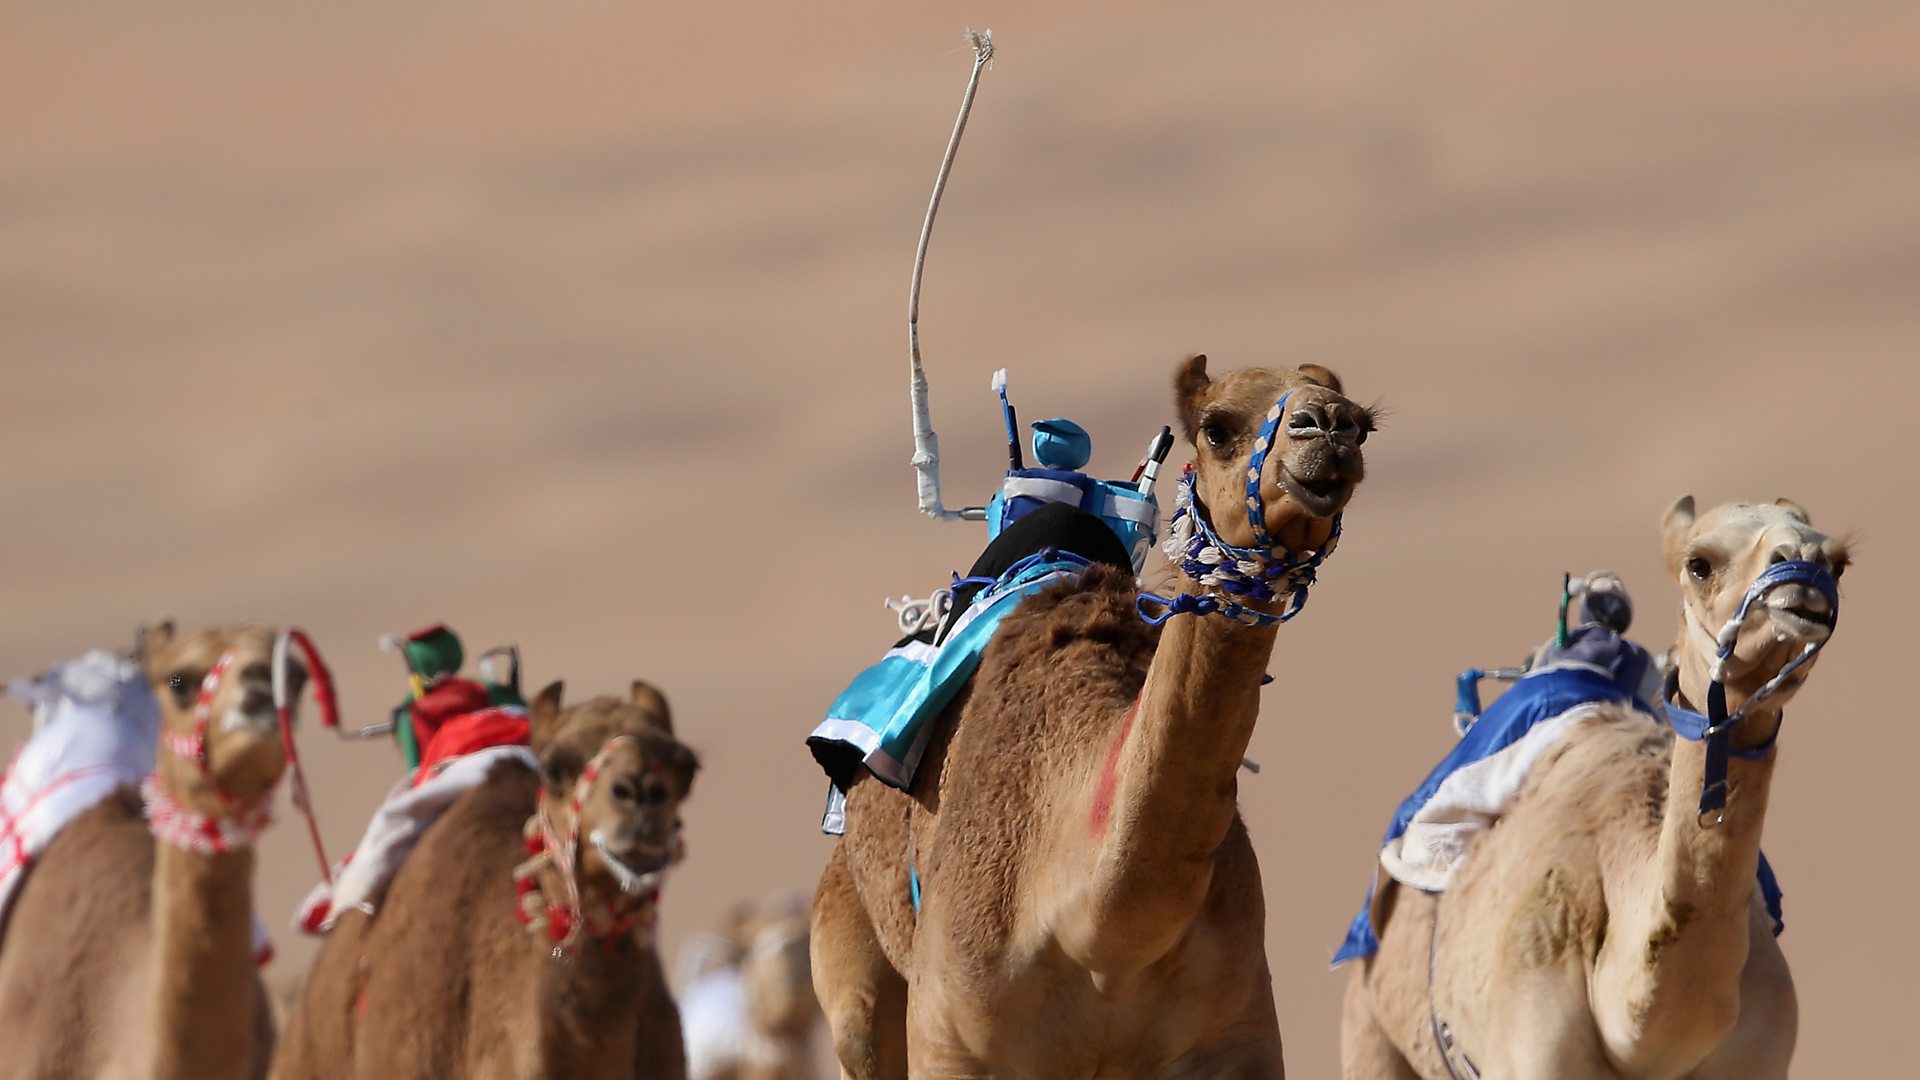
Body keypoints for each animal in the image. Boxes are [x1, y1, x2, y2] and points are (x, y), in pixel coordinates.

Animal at [811, 355, 1376, 1078]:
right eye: (1217, 428)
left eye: (1363, 423)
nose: (1329, 427)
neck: (1103, 936)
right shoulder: (950, 1040)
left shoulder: (1235, 1037)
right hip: (854, 977)